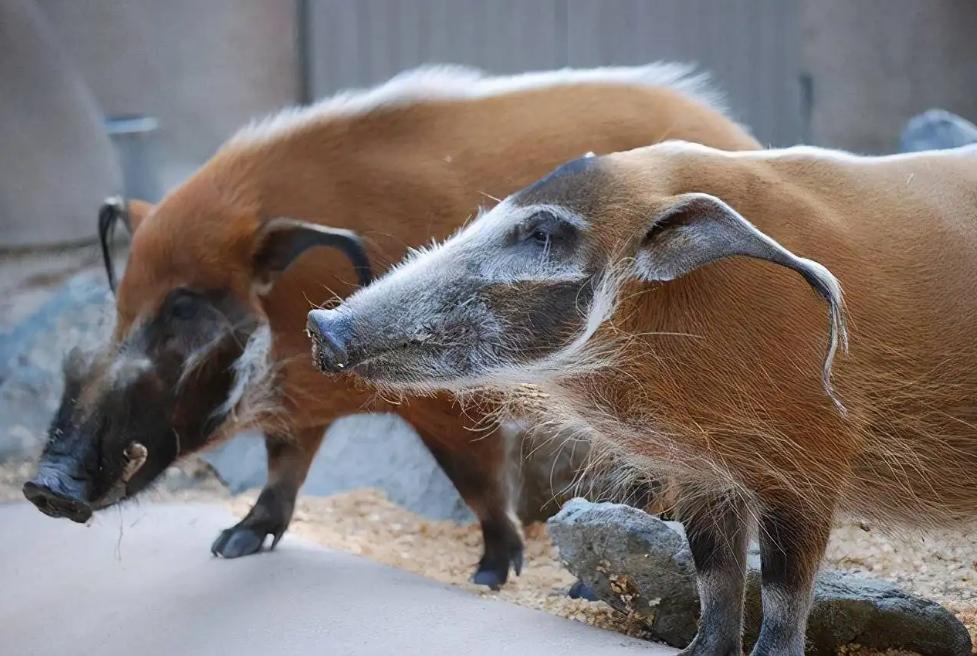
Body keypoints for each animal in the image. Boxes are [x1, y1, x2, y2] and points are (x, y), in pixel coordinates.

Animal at [25, 64, 759, 588]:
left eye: (183, 310)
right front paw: (229, 545)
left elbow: (480, 483)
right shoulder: (299, 404)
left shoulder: (452, 403)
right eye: (122, 307)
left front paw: (489, 576)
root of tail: (744, 138)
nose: (41, 487)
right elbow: (283, 469)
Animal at [307, 142, 977, 653]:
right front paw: (697, 652)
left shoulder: (809, 457)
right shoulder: (703, 472)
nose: (321, 324)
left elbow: (785, 588)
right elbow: (715, 573)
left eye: (543, 232)